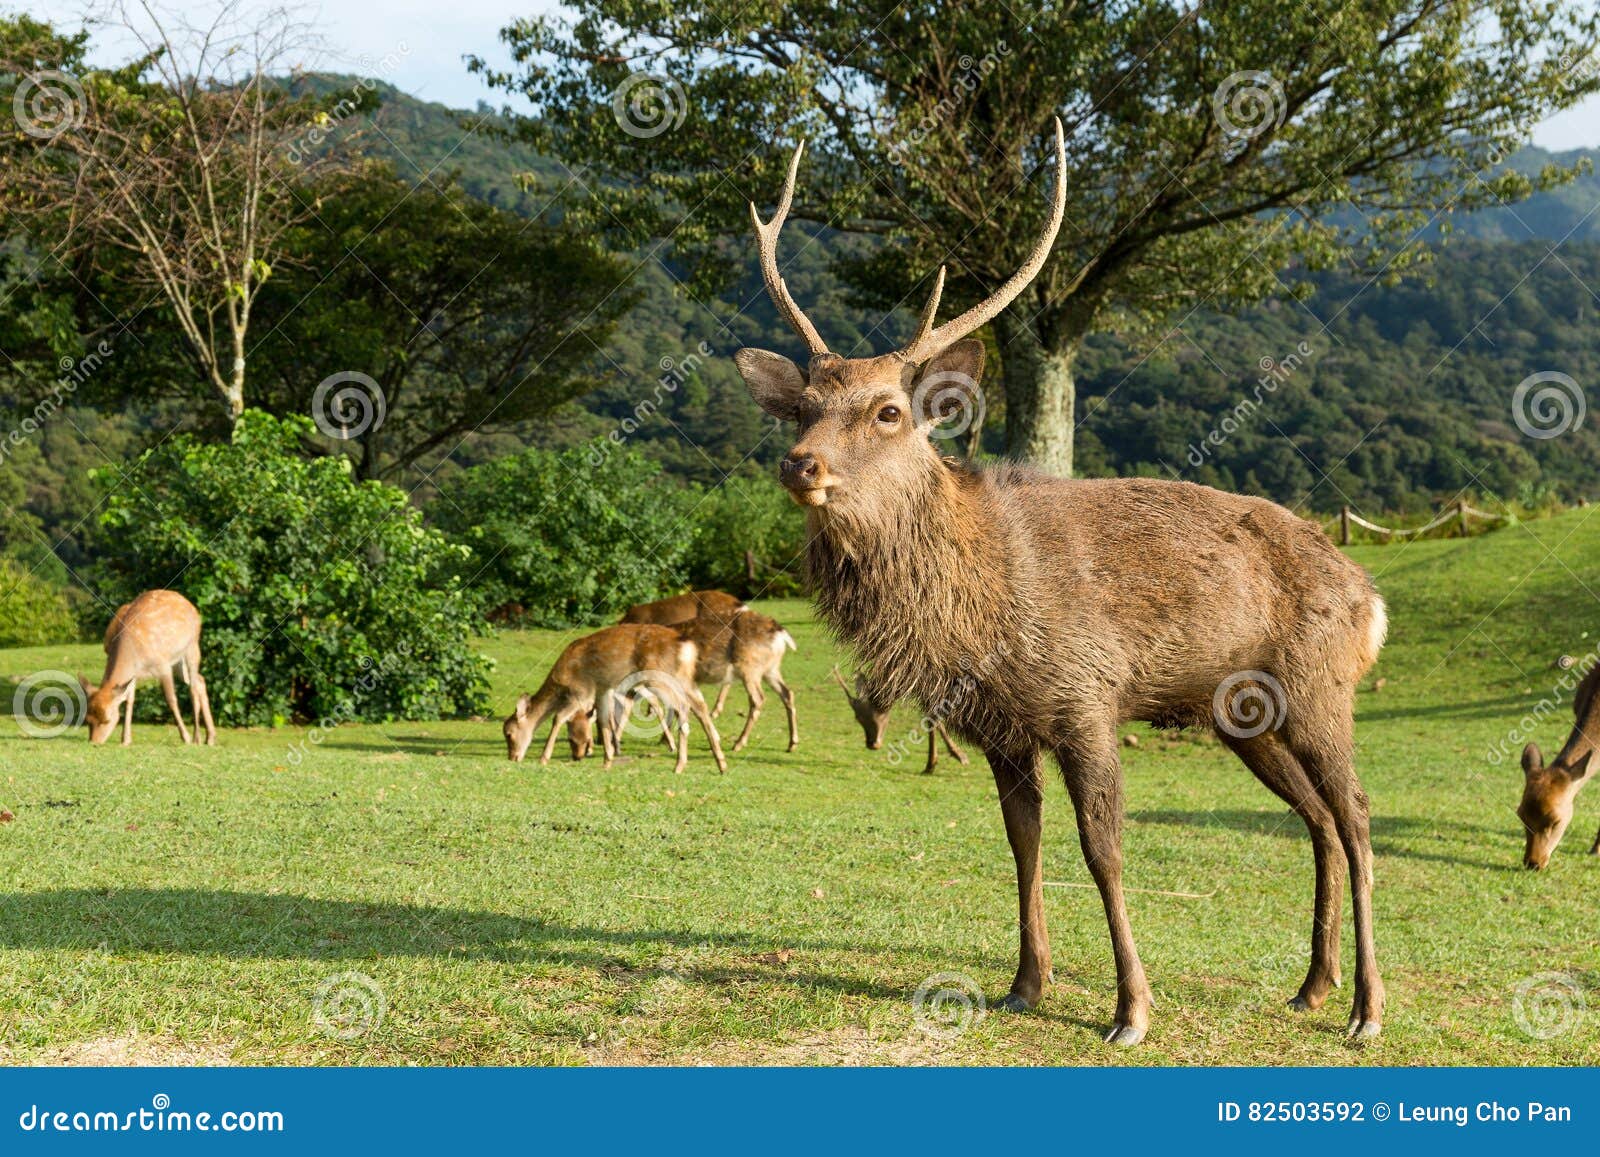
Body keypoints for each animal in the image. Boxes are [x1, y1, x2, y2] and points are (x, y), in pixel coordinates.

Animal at [80, 589, 216, 746]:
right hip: (177, 662)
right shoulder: (134, 673)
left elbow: (171, 699)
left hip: (192, 646)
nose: (94, 742)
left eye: (107, 720)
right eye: (87, 719)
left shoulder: (163, 665)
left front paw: (185, 738)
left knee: (193, 687)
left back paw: (196, 738)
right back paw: (210, 737)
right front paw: (125, 740)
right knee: (200, 680)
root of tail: (192, 606)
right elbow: (129, 699)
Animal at [504, 624, 727, 774]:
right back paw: (721, 763)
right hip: (685, 678)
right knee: (700, 706)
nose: (512, 757)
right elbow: (603, 720)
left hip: (658, 676)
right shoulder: (602, 690)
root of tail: (687, 646)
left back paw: (679, 765)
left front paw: (543, 758)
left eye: (509, 733)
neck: (560, 682)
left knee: (682, 707)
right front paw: (607, 761)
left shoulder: (582, 691)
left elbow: (558, 717)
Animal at [676, 610, 799, 752]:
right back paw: (792, 744)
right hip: (771, 669)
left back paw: (739, 743)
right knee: (787, 693)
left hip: (750, 669)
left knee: (758, 699)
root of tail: (780, 634)